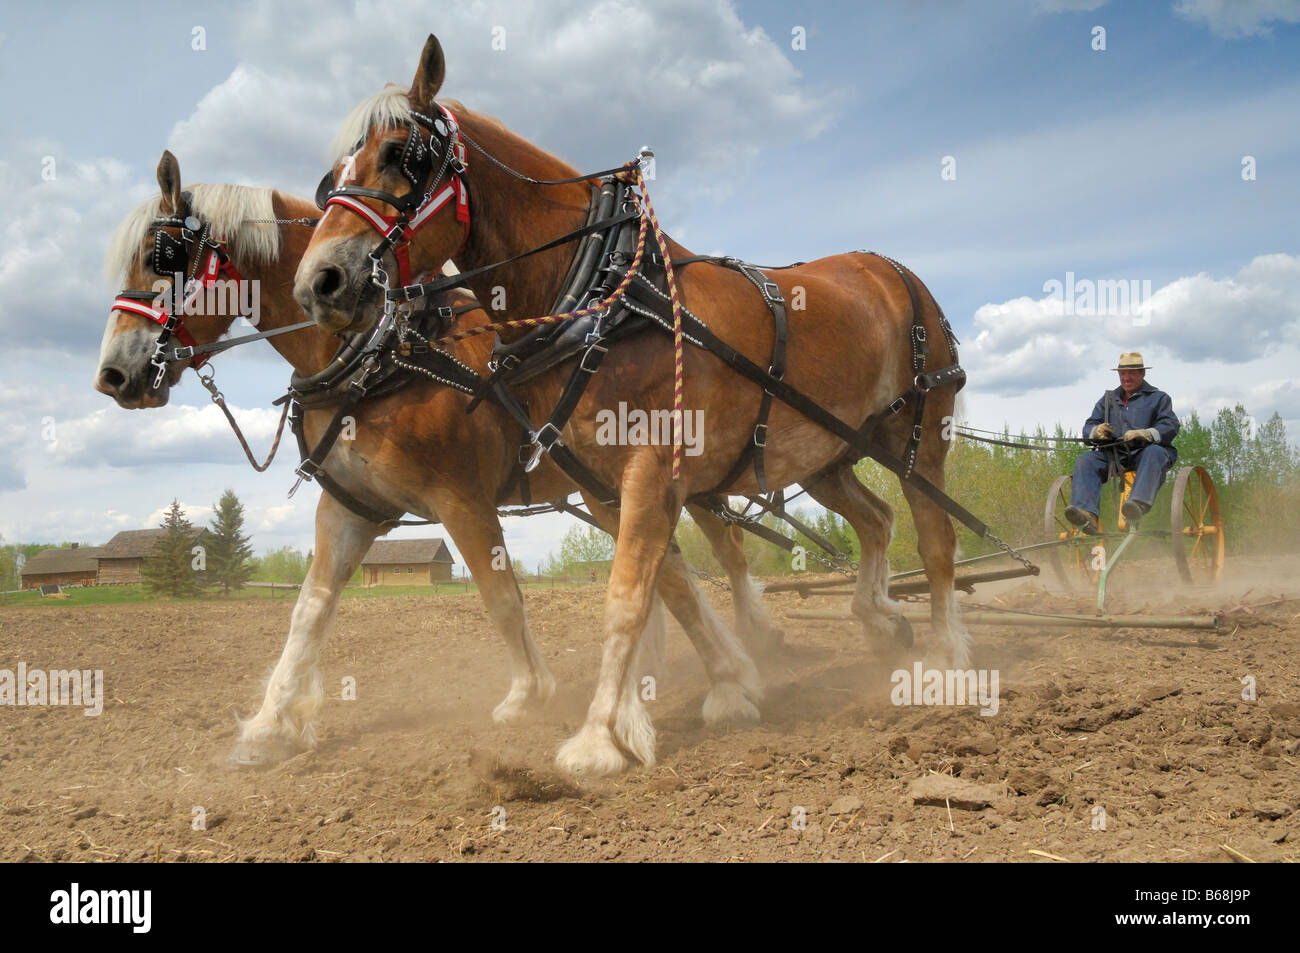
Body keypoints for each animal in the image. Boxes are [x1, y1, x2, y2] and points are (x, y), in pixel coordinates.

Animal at [96, 150, 781, 766]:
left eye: (163, 255)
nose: (113, 375)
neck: (378, 354)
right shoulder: (350, 507)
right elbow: (308, 611)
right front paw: (270, 726)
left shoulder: (461, 500)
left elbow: (500, 595)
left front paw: (530, 694)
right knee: (667, 566)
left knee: (725, 548)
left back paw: (755, 642)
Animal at [293, 35, 972, 776]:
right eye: (331, 176)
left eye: (400, 155)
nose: (319, 281)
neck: (607, 291)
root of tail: (891, 270)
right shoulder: (599, 484)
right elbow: (662, 586)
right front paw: (707, 695)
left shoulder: (652, 467)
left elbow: (626, 596)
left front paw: (597, 738)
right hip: (830, 453)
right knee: (876, 518)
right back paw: (880, 617)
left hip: (921, 435)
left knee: (936, 539)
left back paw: (944, 658)